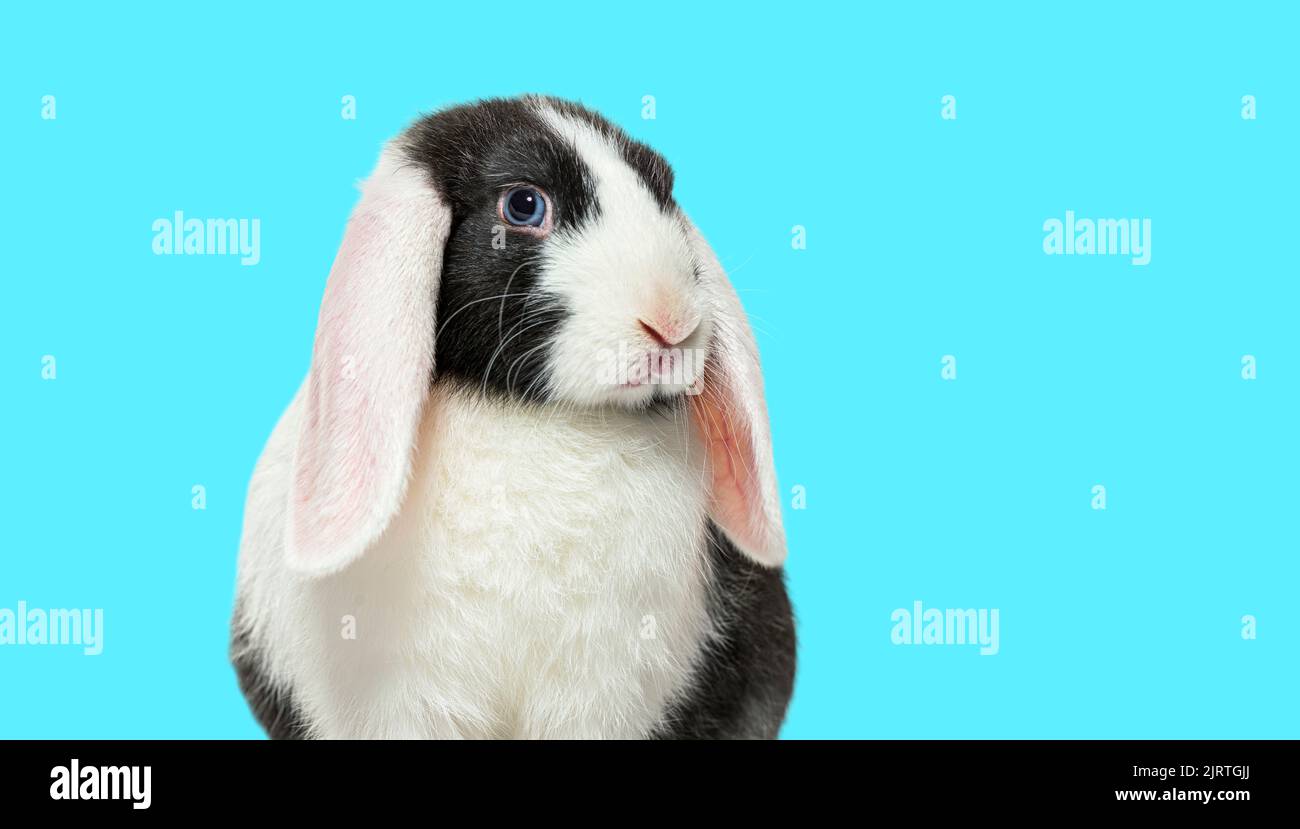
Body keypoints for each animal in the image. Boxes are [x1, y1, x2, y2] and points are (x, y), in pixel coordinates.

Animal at [230, 96, 794, 739]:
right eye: (524, 205)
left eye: (665, 188)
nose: (671, 322)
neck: (533, 414)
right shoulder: (404, 698)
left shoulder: (601, 693)